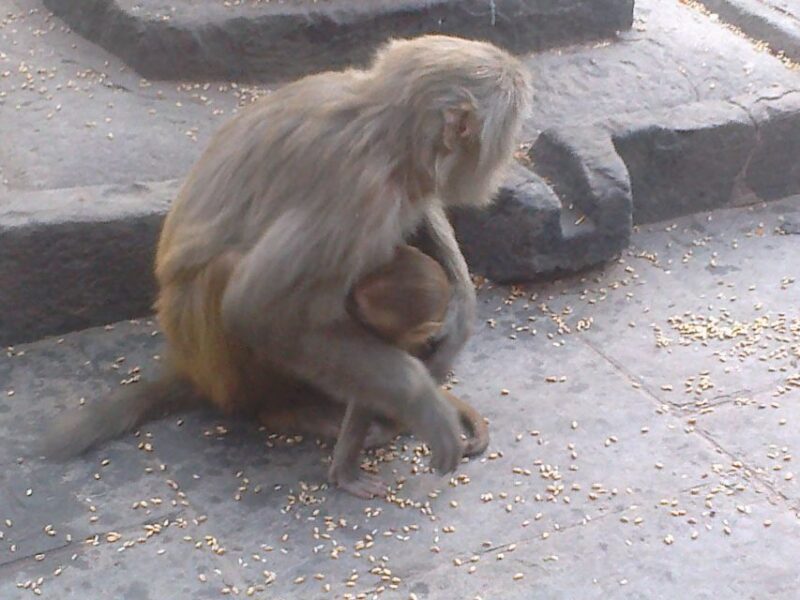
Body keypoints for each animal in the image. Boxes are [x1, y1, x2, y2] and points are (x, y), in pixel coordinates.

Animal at [40, 35, 531, 496]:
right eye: (504, 134)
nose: (503, 160)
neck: (384, 130)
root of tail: (187, 365)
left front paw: (459, 317)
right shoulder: (358, 191)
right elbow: (254, 308)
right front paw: (418, 398)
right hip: (210, 356)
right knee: (234, 275)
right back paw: (287, 410)